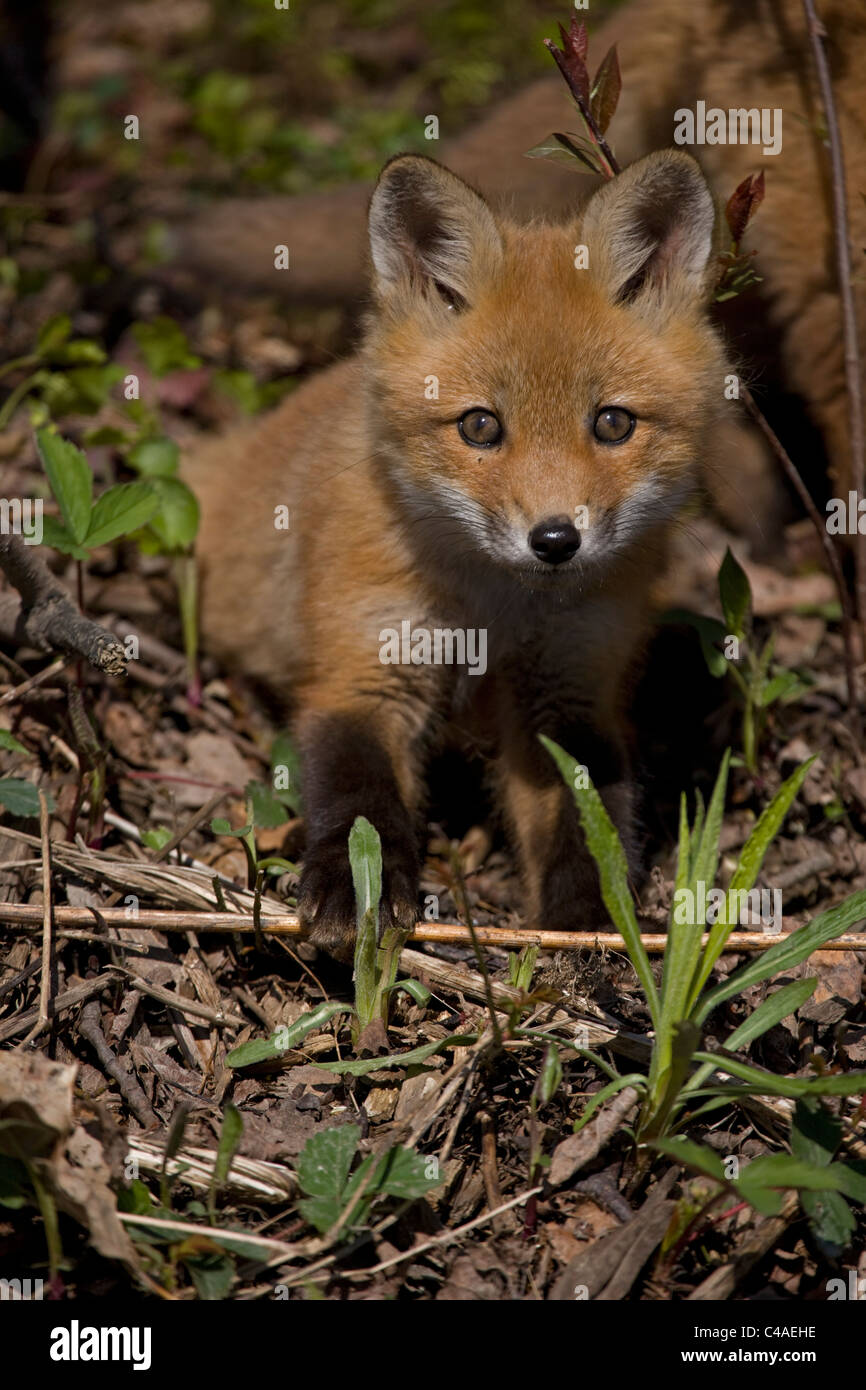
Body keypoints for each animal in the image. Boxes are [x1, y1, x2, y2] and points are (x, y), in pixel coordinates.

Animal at [184, 148, 728, 961]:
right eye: (479, 426)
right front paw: (357, 890)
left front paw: (589, 928)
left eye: (612, 423)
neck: (496, 607)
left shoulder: (568, 689)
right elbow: (359, 794)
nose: (556, 540)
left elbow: (587, 821)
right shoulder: (369, 666)